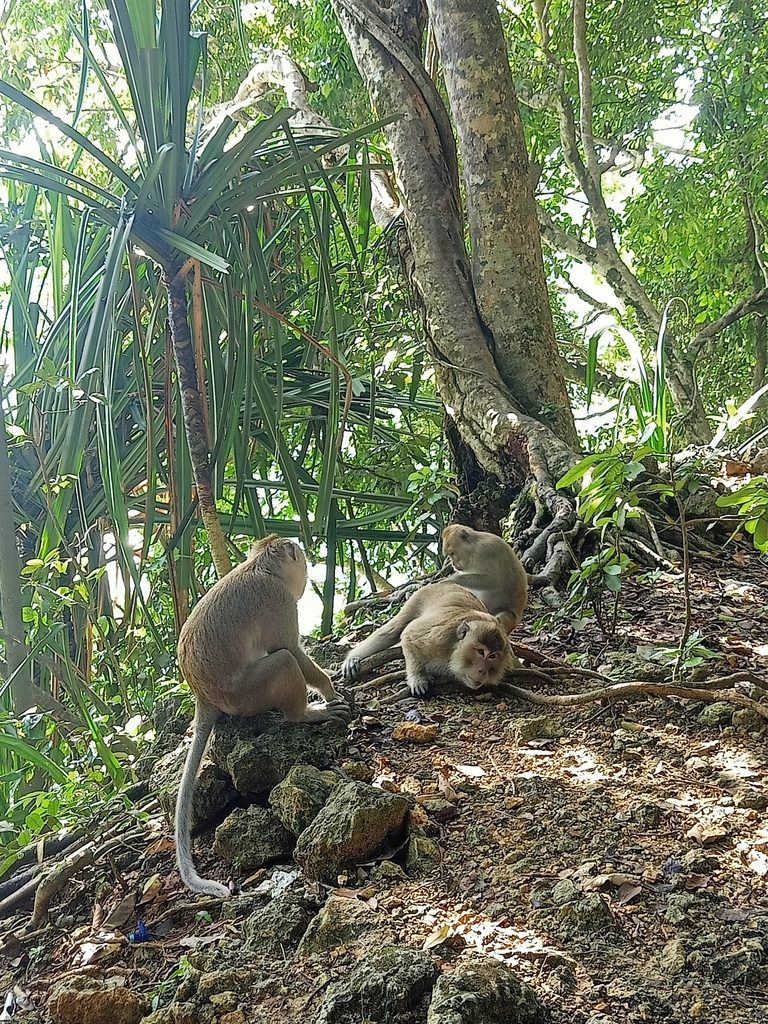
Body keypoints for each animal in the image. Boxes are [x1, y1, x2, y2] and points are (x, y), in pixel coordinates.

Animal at [174, 534, 350, 898]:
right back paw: (306, 715)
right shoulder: (280, 600)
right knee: (283, 660)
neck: (260, 568)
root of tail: (203, 697)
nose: (306, 569)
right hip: (249, 694)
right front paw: (328, 691)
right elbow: (291, 648)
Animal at [342, 583, 518, 695]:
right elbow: (408, 634)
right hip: (417, 598)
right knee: (393, 629)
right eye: (481, 652)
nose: (482, 671)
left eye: (492, 656)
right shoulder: (438, 639)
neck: (452, 650)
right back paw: (353, 658)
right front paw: (418, 678)